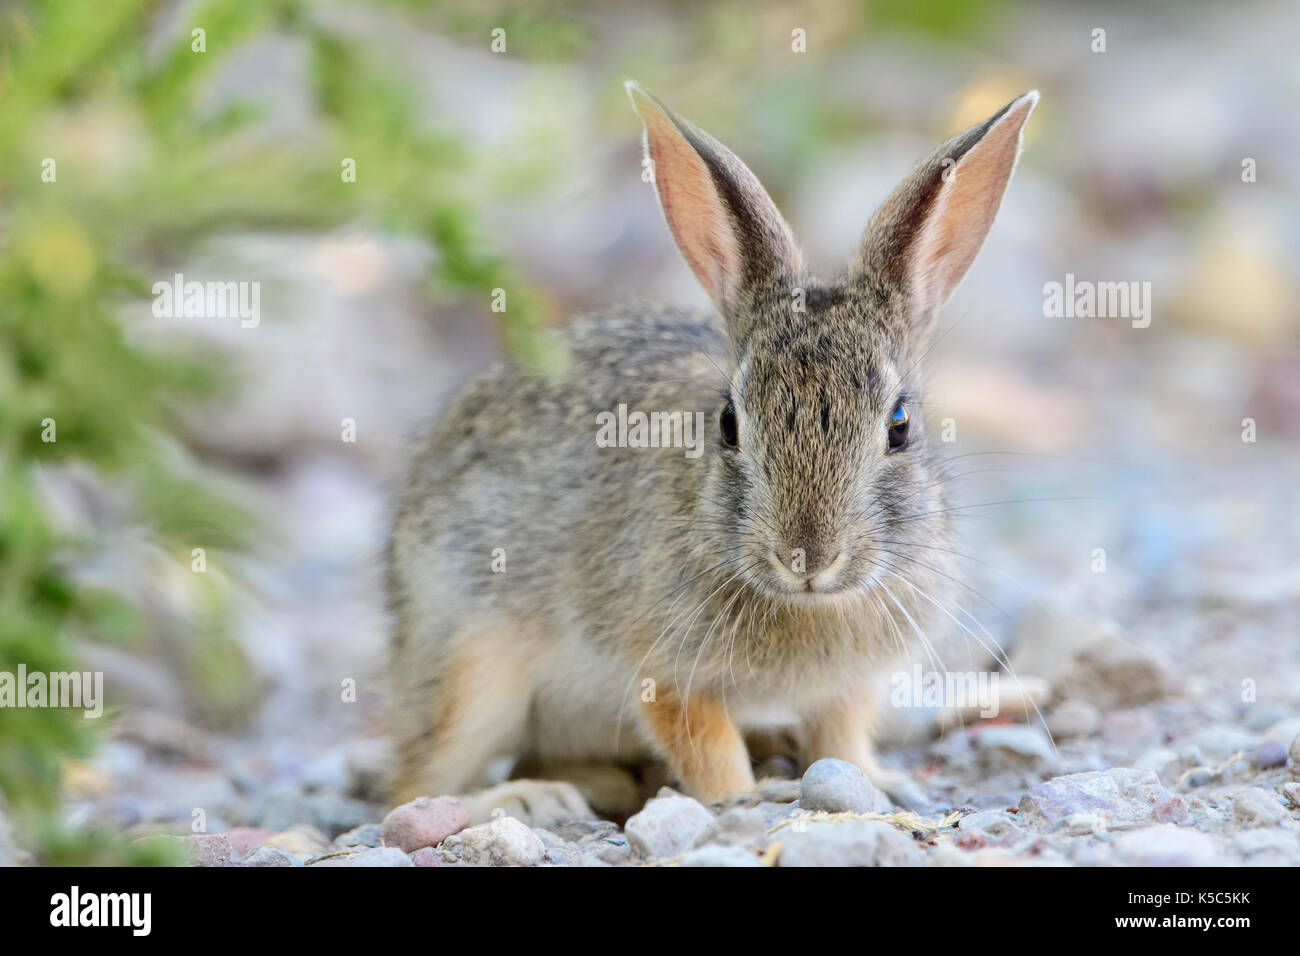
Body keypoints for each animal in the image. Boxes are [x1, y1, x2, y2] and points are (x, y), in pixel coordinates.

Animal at [385, 82, 1038, 823]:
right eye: (729, 422)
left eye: (899, 425)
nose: (806, 557)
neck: (807, 604)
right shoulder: (665, 670)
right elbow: (702, 739)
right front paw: (742, 798)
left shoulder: (849, 686)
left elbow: (840, 735)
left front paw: (876, 780)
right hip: (471, 663)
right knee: (417, 782)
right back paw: (531, 797)